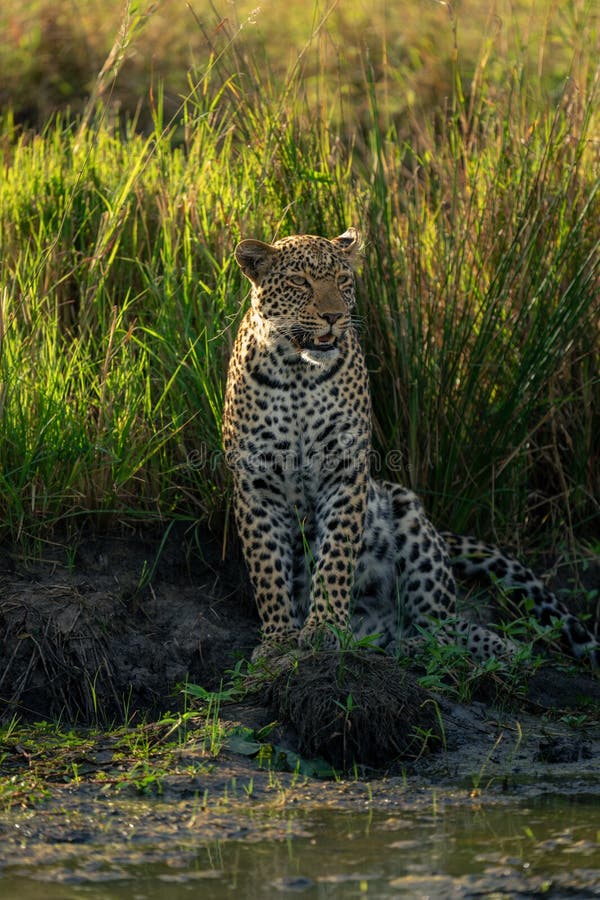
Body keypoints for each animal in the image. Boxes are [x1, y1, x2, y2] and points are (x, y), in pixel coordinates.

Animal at [222, 227, 598, 669]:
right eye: (300, 282)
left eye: (343, 281)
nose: (334, 316)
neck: (298, 370)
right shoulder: (256, 482)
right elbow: (267, 568)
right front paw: (279, 639)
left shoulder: (345, 471)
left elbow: (335, 557)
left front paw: (325, 626)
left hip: (409, 517)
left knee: (448, 627)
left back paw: (477, 652)